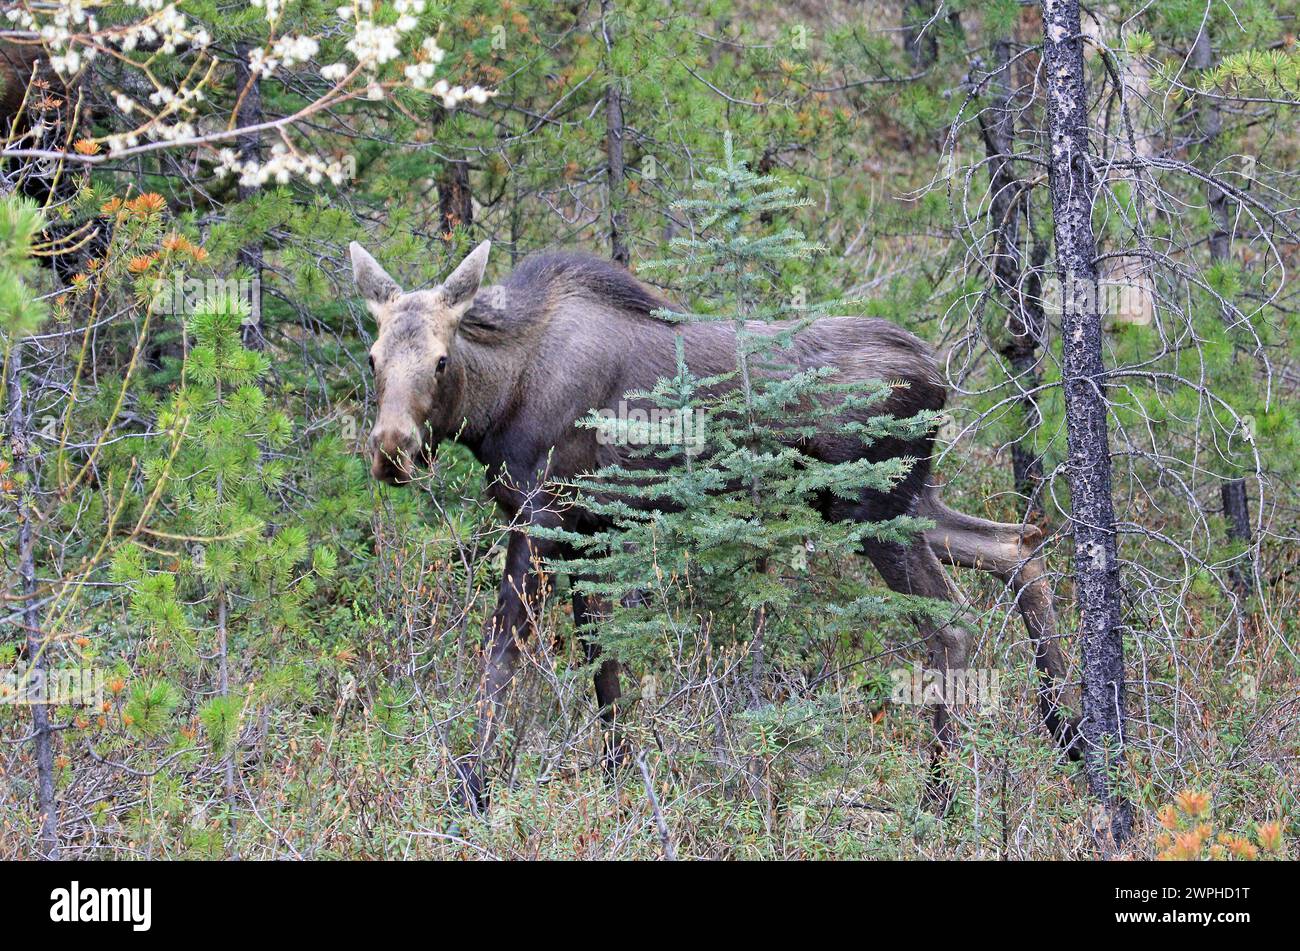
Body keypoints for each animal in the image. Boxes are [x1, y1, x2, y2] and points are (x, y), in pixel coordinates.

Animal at [350, 239, 1081, 811]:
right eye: (374, 356)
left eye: (441, 359)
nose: (391, 448)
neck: (498, 404)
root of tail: (940, 377)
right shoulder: (591, 527)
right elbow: (602, 658)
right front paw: (621, 777)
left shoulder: (543, 514)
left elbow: (504, 650)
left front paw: (470, 789)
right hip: (905, 498)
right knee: (1017, 544)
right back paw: (1073, 734)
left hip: (873, 507)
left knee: (952, 623)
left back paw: (941, 796)